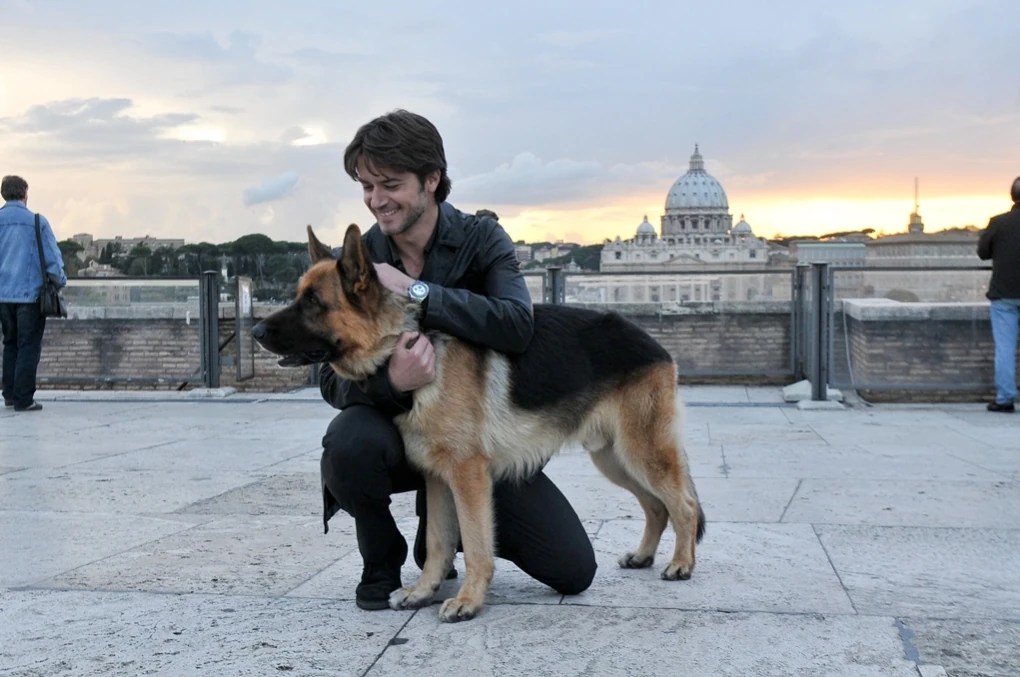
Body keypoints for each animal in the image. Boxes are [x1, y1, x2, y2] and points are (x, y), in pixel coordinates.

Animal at [250, 224, 705, 619]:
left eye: (313, 302)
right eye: (297, 296)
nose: (254, 330)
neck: (401, 344)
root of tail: (652, 343)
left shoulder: (468, 478)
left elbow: (474, 543)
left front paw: (469, 601)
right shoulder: (438, 479)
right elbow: (438, 542)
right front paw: (423, 591)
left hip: (640, 453)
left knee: (682, 505)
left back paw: (681, 564)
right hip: (615, 458)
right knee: (656, 506)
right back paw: (644, 556)